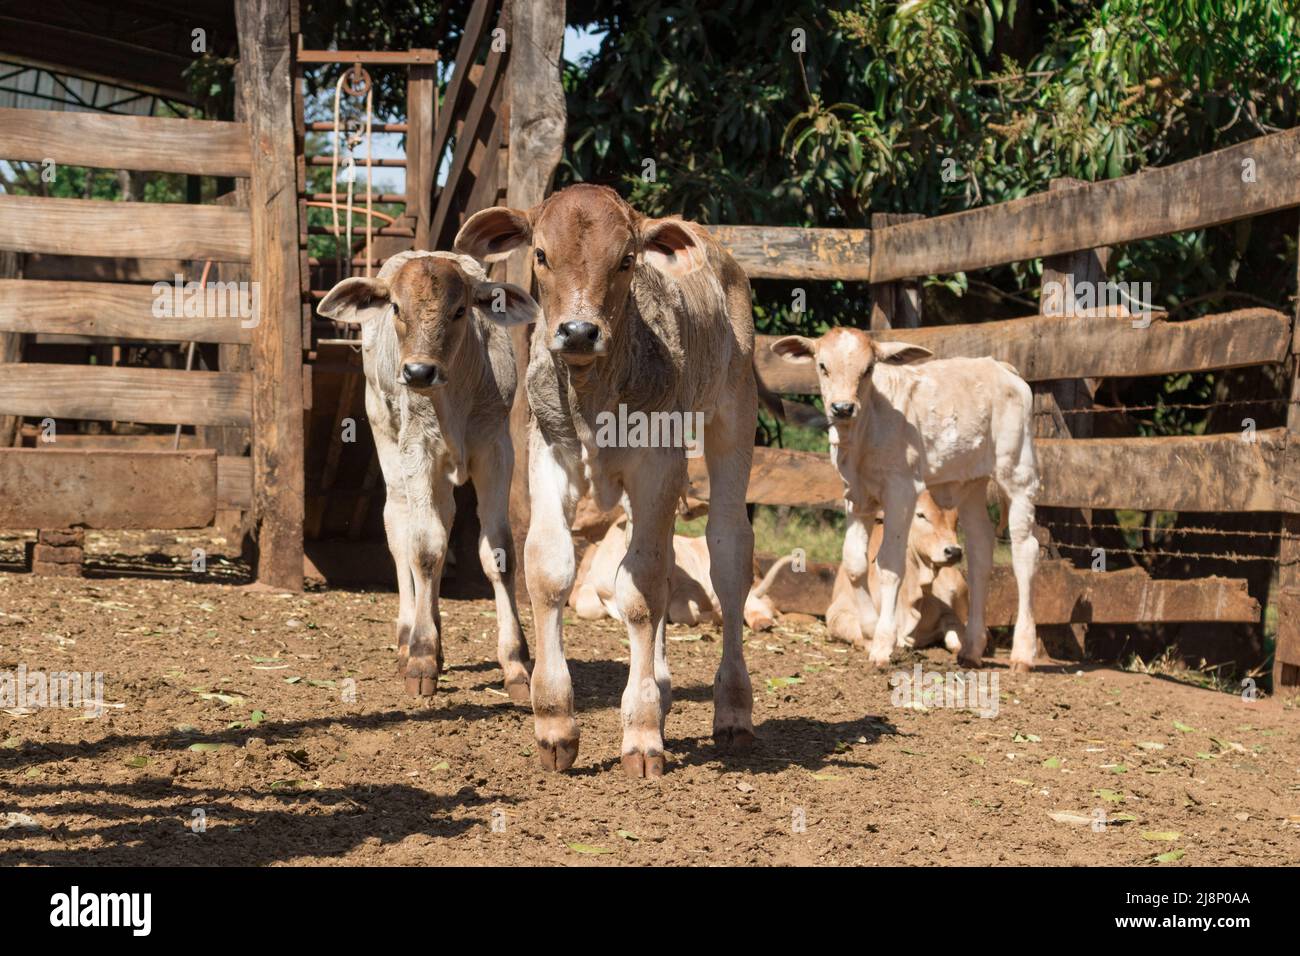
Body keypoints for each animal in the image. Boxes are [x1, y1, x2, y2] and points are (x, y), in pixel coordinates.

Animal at [316, 251, 538, 700]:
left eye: (460, 311)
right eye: (397, 308)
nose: (419, 372)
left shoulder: (495, 449)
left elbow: (499, 553)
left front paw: (517, 664)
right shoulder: (415, 447)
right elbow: (423, 550)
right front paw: (420, 657)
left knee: (443, 519)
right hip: (385, 433)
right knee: (401, 527)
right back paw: (409, 638)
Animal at [455, 183, 757, 777]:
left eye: (625, 259)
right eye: (541, 254)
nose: (577, 331)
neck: (593, 392)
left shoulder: (658, 463)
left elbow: (640, 591)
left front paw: (641, 735)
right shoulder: (549, 454)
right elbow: (551, 571)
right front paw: (555, 724)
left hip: (734, 418)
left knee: (728, 553)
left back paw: (732, 710)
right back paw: (661, 687)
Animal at [825, 489, 969, 655]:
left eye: (956, 518)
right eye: (920, 514)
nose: (954, 551)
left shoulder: (950, 614)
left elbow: (957, 641)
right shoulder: (838, 612)